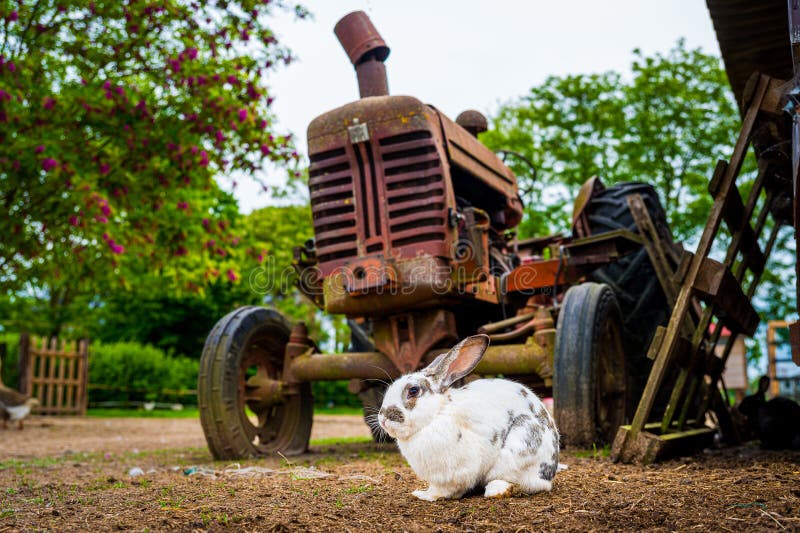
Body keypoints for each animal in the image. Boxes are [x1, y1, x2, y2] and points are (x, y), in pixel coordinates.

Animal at [377, 334, 560, 501]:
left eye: (413, 390)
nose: (383, 417)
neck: (437, 414)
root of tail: (551, 468)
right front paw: (423, 492)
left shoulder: (453, 472)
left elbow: (443, 490)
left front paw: (425, 496)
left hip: (519, 446)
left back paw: (496, 490)